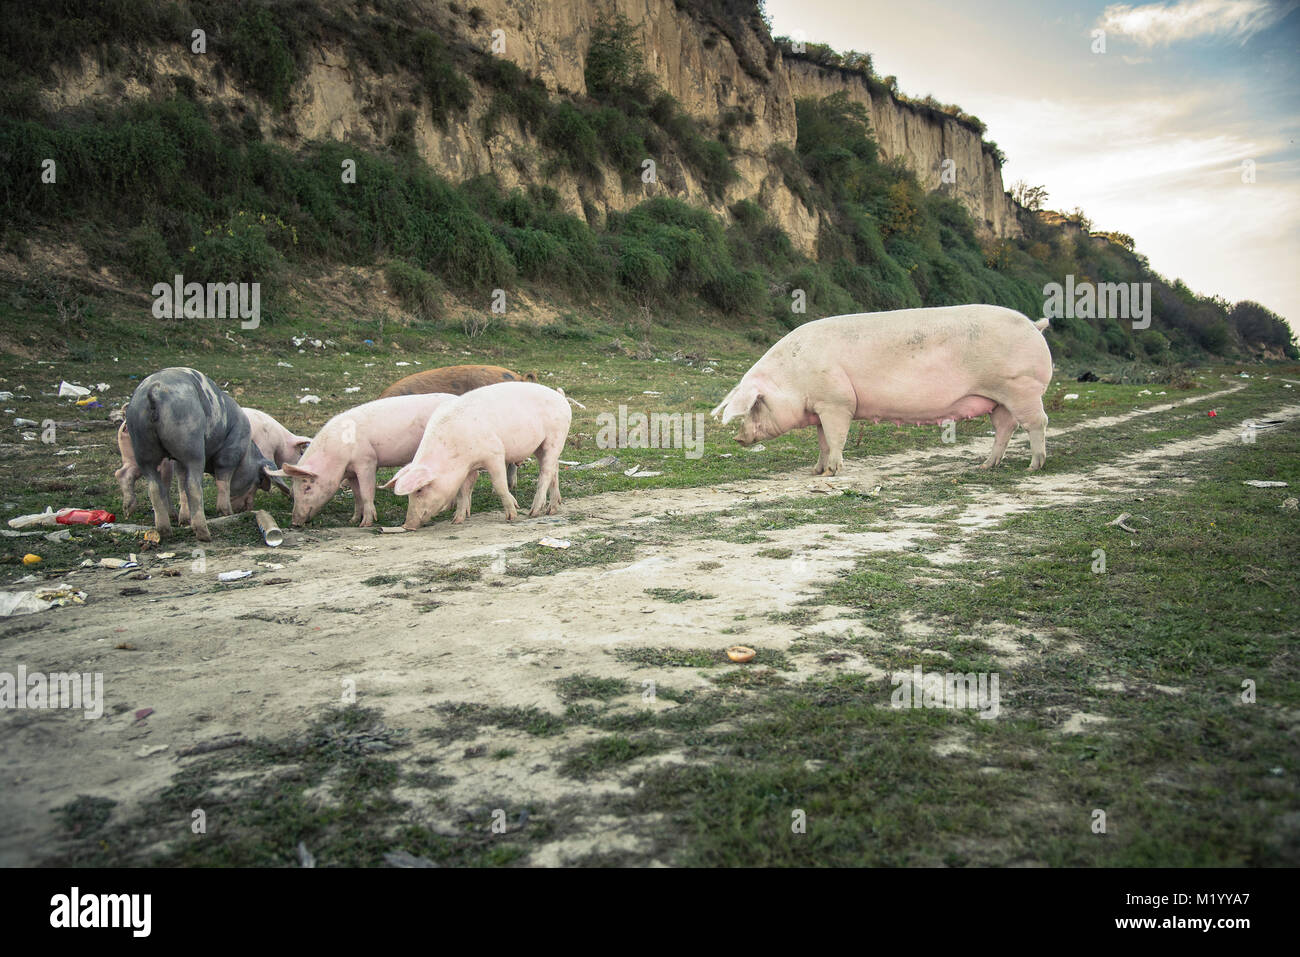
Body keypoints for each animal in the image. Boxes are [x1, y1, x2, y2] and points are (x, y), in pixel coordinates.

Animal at [125, 368, 287, 541]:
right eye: (258, 481)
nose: (247, 508)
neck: (246, 452)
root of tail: (154, 390)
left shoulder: (178, 461)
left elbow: (181, 482)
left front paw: (184, 521)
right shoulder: (229, 453)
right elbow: (223, 481)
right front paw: (226, 513)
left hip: (142, 445)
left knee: (155, 487)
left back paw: (165, 532)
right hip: (191, 444)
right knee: (193, 486)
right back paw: (205, 534)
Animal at [268, 393, 458, 527]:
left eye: (307, 487)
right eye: (294, 487)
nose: (295, 522)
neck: (337, 453)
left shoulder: (367, 461)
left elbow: (367, 492)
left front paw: (366, 523)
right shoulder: (351, 472)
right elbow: (357, 495)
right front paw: (352, 521)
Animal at [382, 381, 571, 531]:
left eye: (420, 490)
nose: (407, 525)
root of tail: (560, 396)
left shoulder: (495, 453)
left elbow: (499, 485)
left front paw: (512, 515)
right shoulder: (467, 468)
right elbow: (463, 491)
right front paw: (457, 520)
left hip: (555, 436)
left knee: (546, 472)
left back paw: (534, 512)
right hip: (541, 446)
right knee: (554, 469)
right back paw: (552, 509)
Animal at [712, 305, 1053, 473]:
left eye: (756, 404)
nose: (738, 437)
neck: (794, 377)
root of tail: (1034, 327)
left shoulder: (838, 402)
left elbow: (836, 438)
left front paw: (834, 471)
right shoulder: (821, 407)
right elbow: (822, 442)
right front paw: (816, 471)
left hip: (1022, 387)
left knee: (1037, 422)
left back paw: (1033, 467)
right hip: (999, 399)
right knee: (1005, 428)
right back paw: (985, 466)